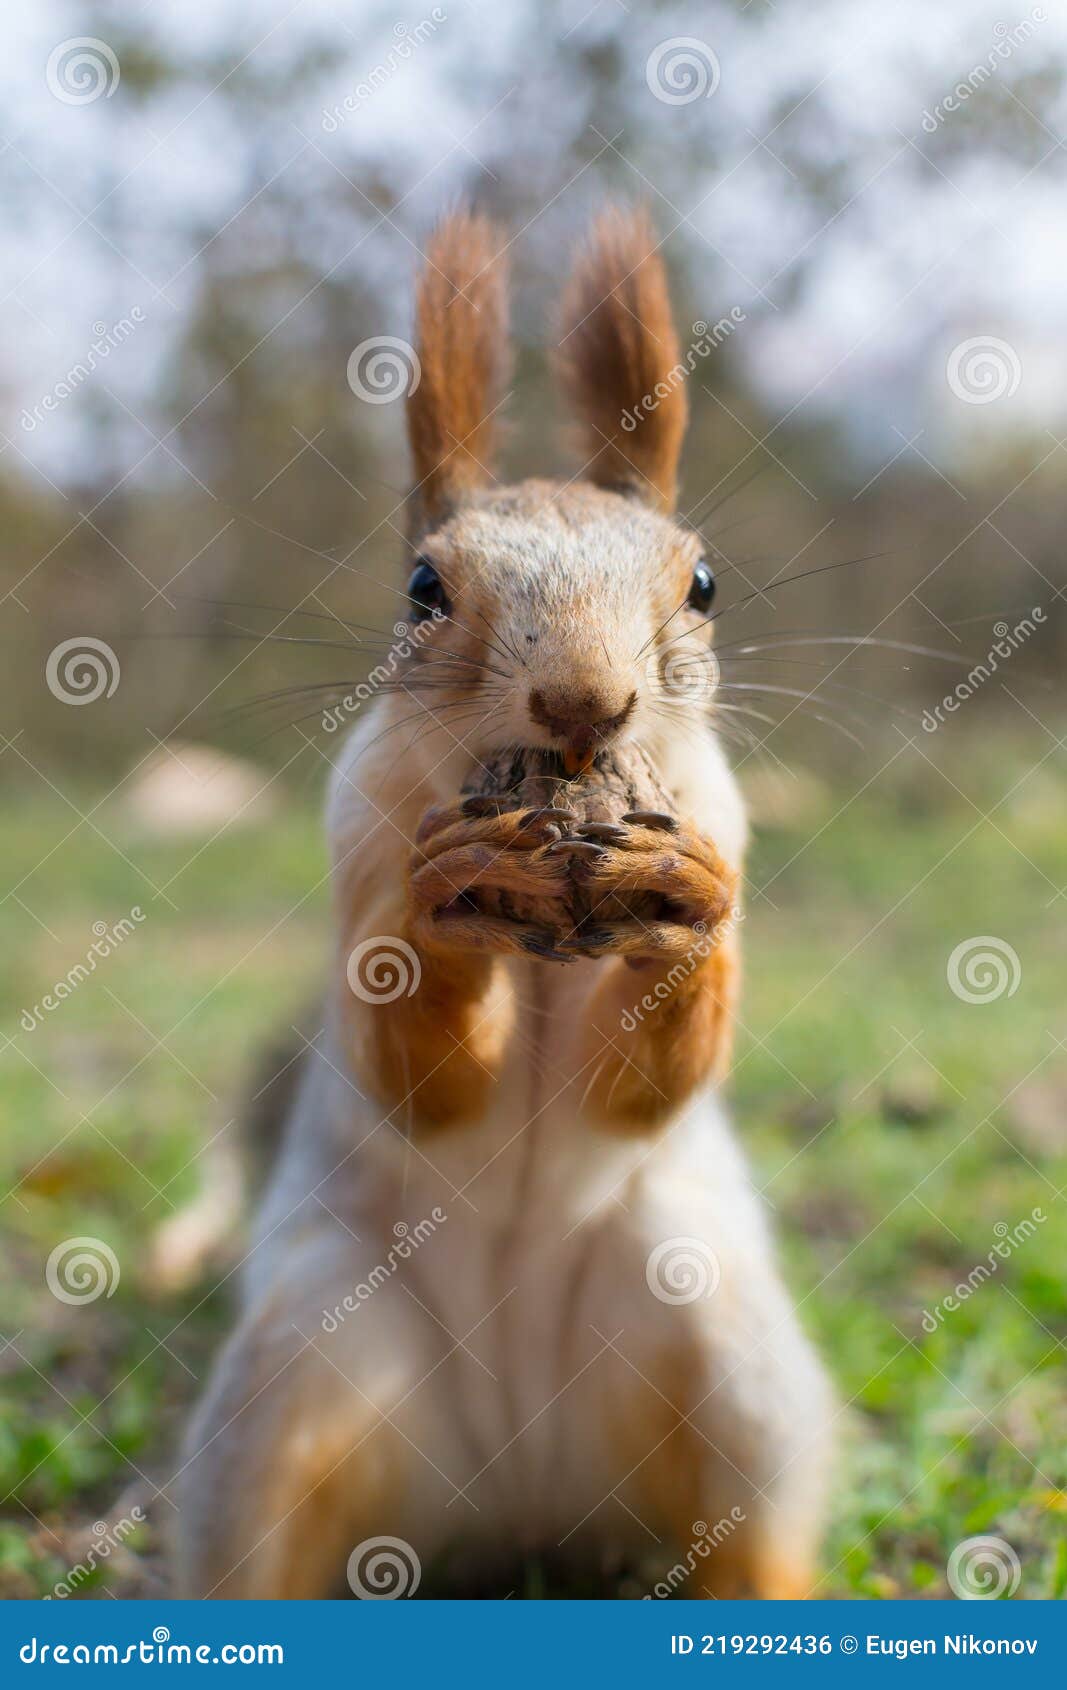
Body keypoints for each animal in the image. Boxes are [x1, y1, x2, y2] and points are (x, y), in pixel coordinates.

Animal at [174, 207, 834, 1599]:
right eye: (421, 588)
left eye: (703, 584)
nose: (583, 703)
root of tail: (518, 1499)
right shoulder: (359, 837)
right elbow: (415, 1068)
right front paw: (449, 892)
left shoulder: (718, 811)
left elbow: (642, 1083)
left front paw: (686, 893)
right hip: (299, 1362)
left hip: (729, 1353)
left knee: (751, 1535)